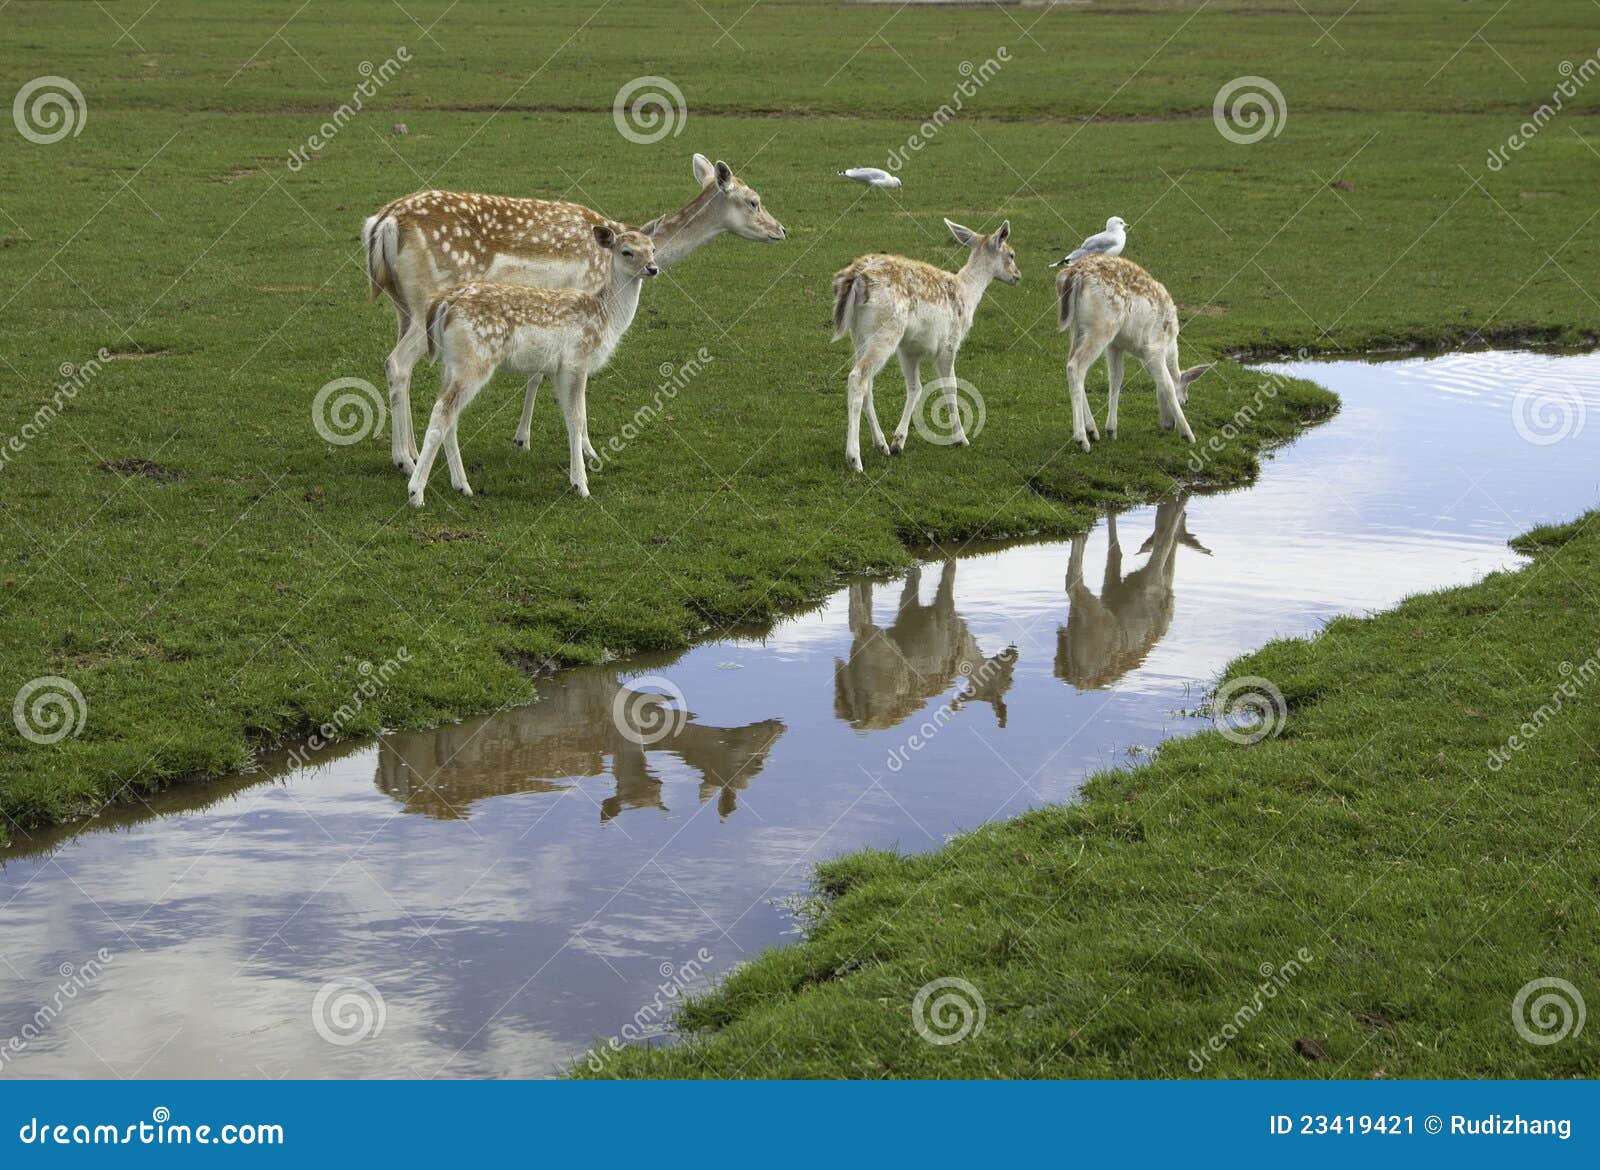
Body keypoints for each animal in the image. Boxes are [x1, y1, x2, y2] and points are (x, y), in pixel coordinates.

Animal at [364, 154, 786, 473]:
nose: (781, 230)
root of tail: (382, 222)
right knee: (397, 362)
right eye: (754, 200)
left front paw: (523, 439)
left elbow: (538, 372)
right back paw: (404, 459)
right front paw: (584, 449)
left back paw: (411, 451)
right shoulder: (584, 302)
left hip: (403, 305)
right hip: (426, 299)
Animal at [406, 225, 656, 506]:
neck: (606, 319)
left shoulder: (559, 369)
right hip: (475, 358)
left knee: (450, 412)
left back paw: (462, 485)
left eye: (652, 248)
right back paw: (416, 492)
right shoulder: (576, 360)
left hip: (453, 363)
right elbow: (577, 417)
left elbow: (572, 415)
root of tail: (443, 303)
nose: (653, 268)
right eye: (627, 251)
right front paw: (581, 485)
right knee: (443, 410)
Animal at [831, 219, 1020, 472]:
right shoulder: (949, 343)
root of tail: (856, 276)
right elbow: (951, 386)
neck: (968, 295)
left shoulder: (909, 349)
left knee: (867, 382)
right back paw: (854, 459)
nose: (1017, 276)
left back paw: (880, 444)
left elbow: (915, 387)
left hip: (859, 333)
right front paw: (961, 438)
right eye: (1011, 254)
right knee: (857, 376)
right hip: (886, 331)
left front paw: (898, 442)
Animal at [1055, 253, 1212, 452]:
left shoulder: (1116, 345)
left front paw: (1111, 430)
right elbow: (1167, 383)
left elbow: (1116, 378)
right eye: (1185, 401)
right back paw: (1082, 439)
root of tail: (1073, 275)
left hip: (1077, 328)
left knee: (1070, 362)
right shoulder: (1154, 349)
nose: (1170, 426)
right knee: (1076, 366)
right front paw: (1188, 434)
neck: (1170, 345)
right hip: (1103, 326)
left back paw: (1092, 430)